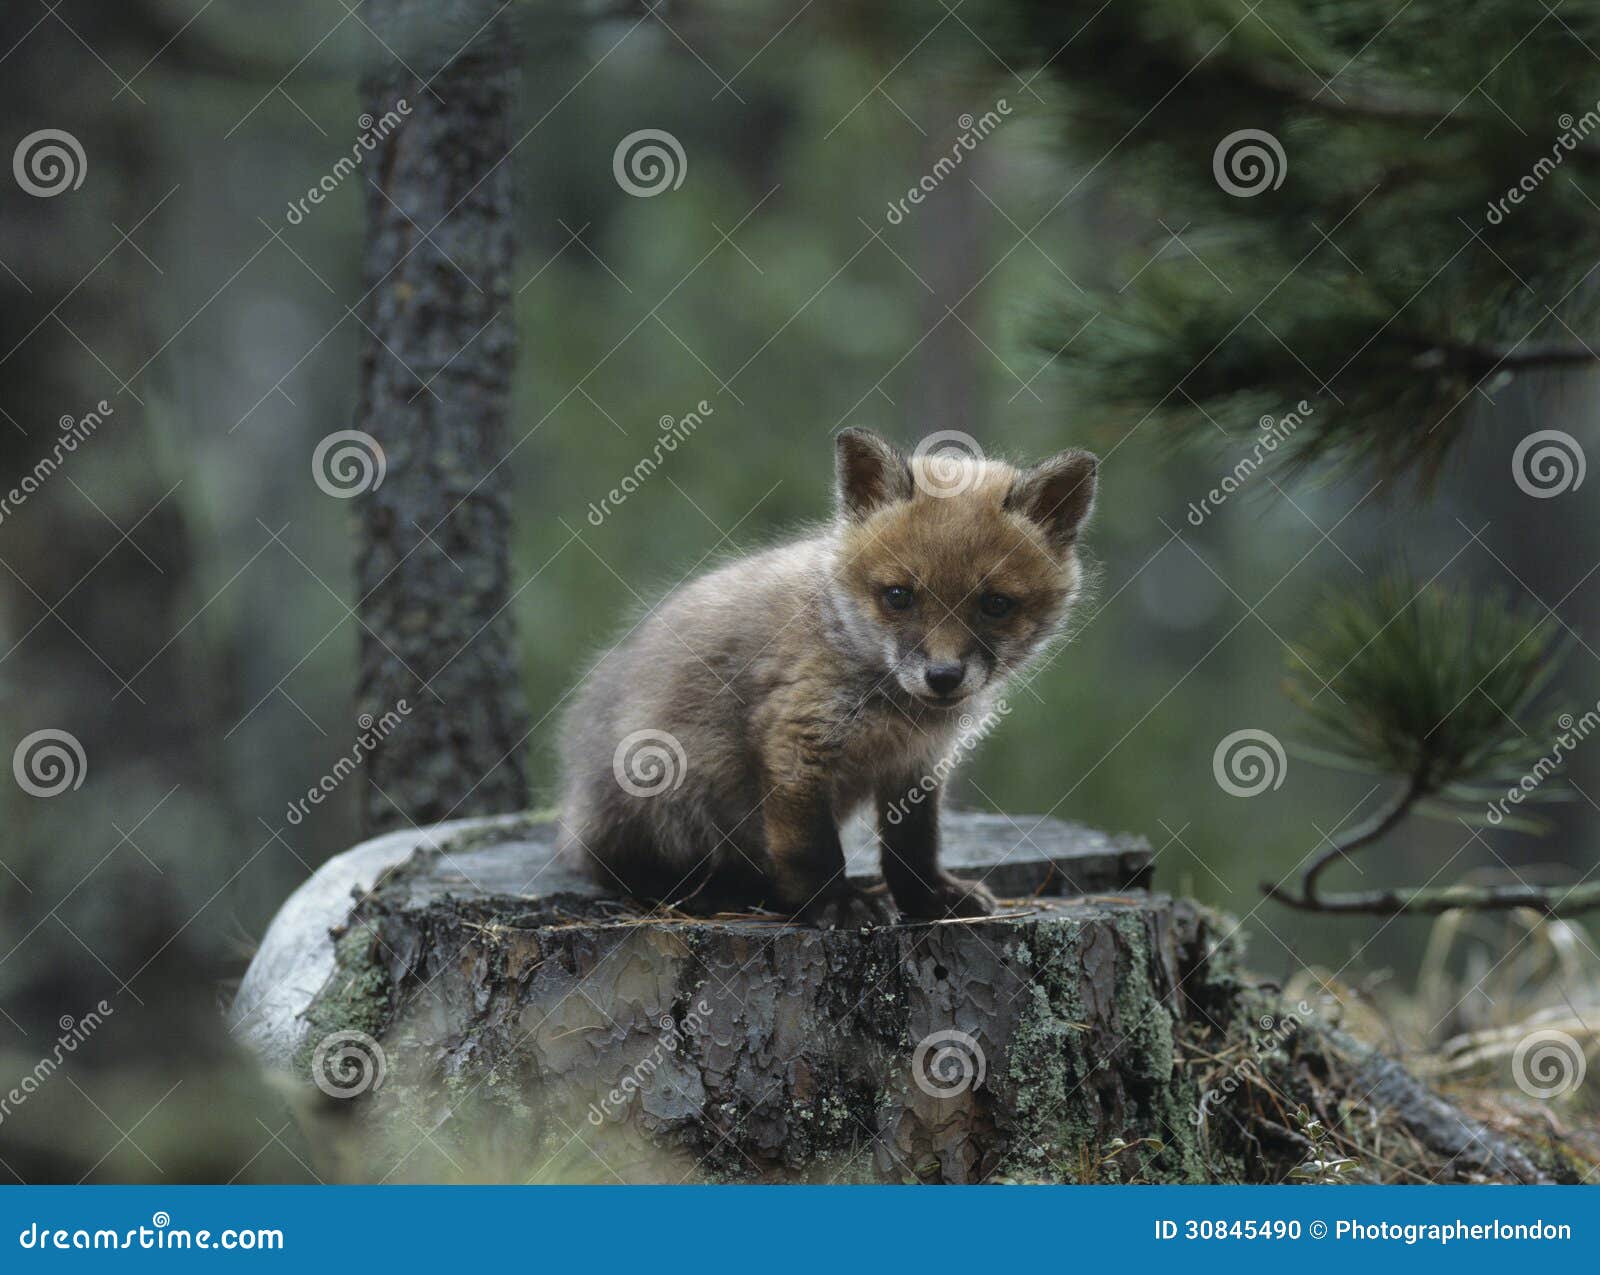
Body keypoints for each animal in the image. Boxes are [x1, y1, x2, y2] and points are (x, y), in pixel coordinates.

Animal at [557, 428, 1097, 928]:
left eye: (996, 604)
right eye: (899, 596)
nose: (943, 676)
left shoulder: (917, 763)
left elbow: (914, 846)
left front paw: (927, 898)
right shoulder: (797, 736)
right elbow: (813, 850)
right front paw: (837, 902)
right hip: (662, 786)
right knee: (621, 871)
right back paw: (727, 892)